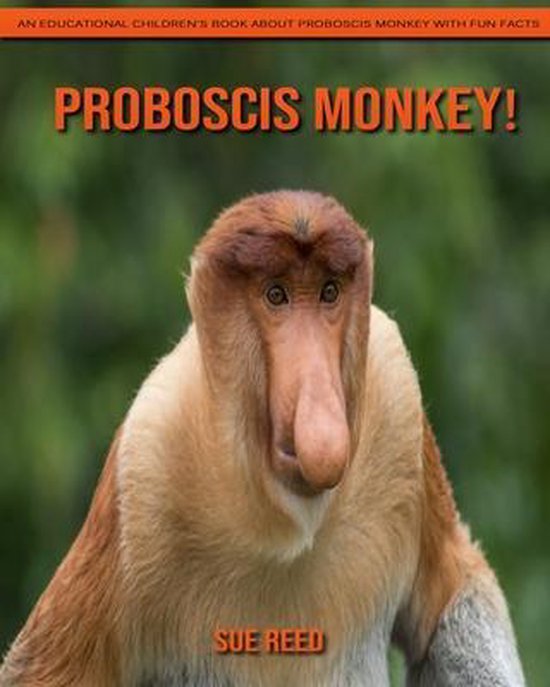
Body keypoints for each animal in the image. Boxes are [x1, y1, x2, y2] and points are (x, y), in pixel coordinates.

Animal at [0, 190, 525, 686]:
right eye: (276, 295)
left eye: (329, 292)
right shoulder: (147, 458)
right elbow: (47, 668)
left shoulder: (395, 394)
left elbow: (454, 592)